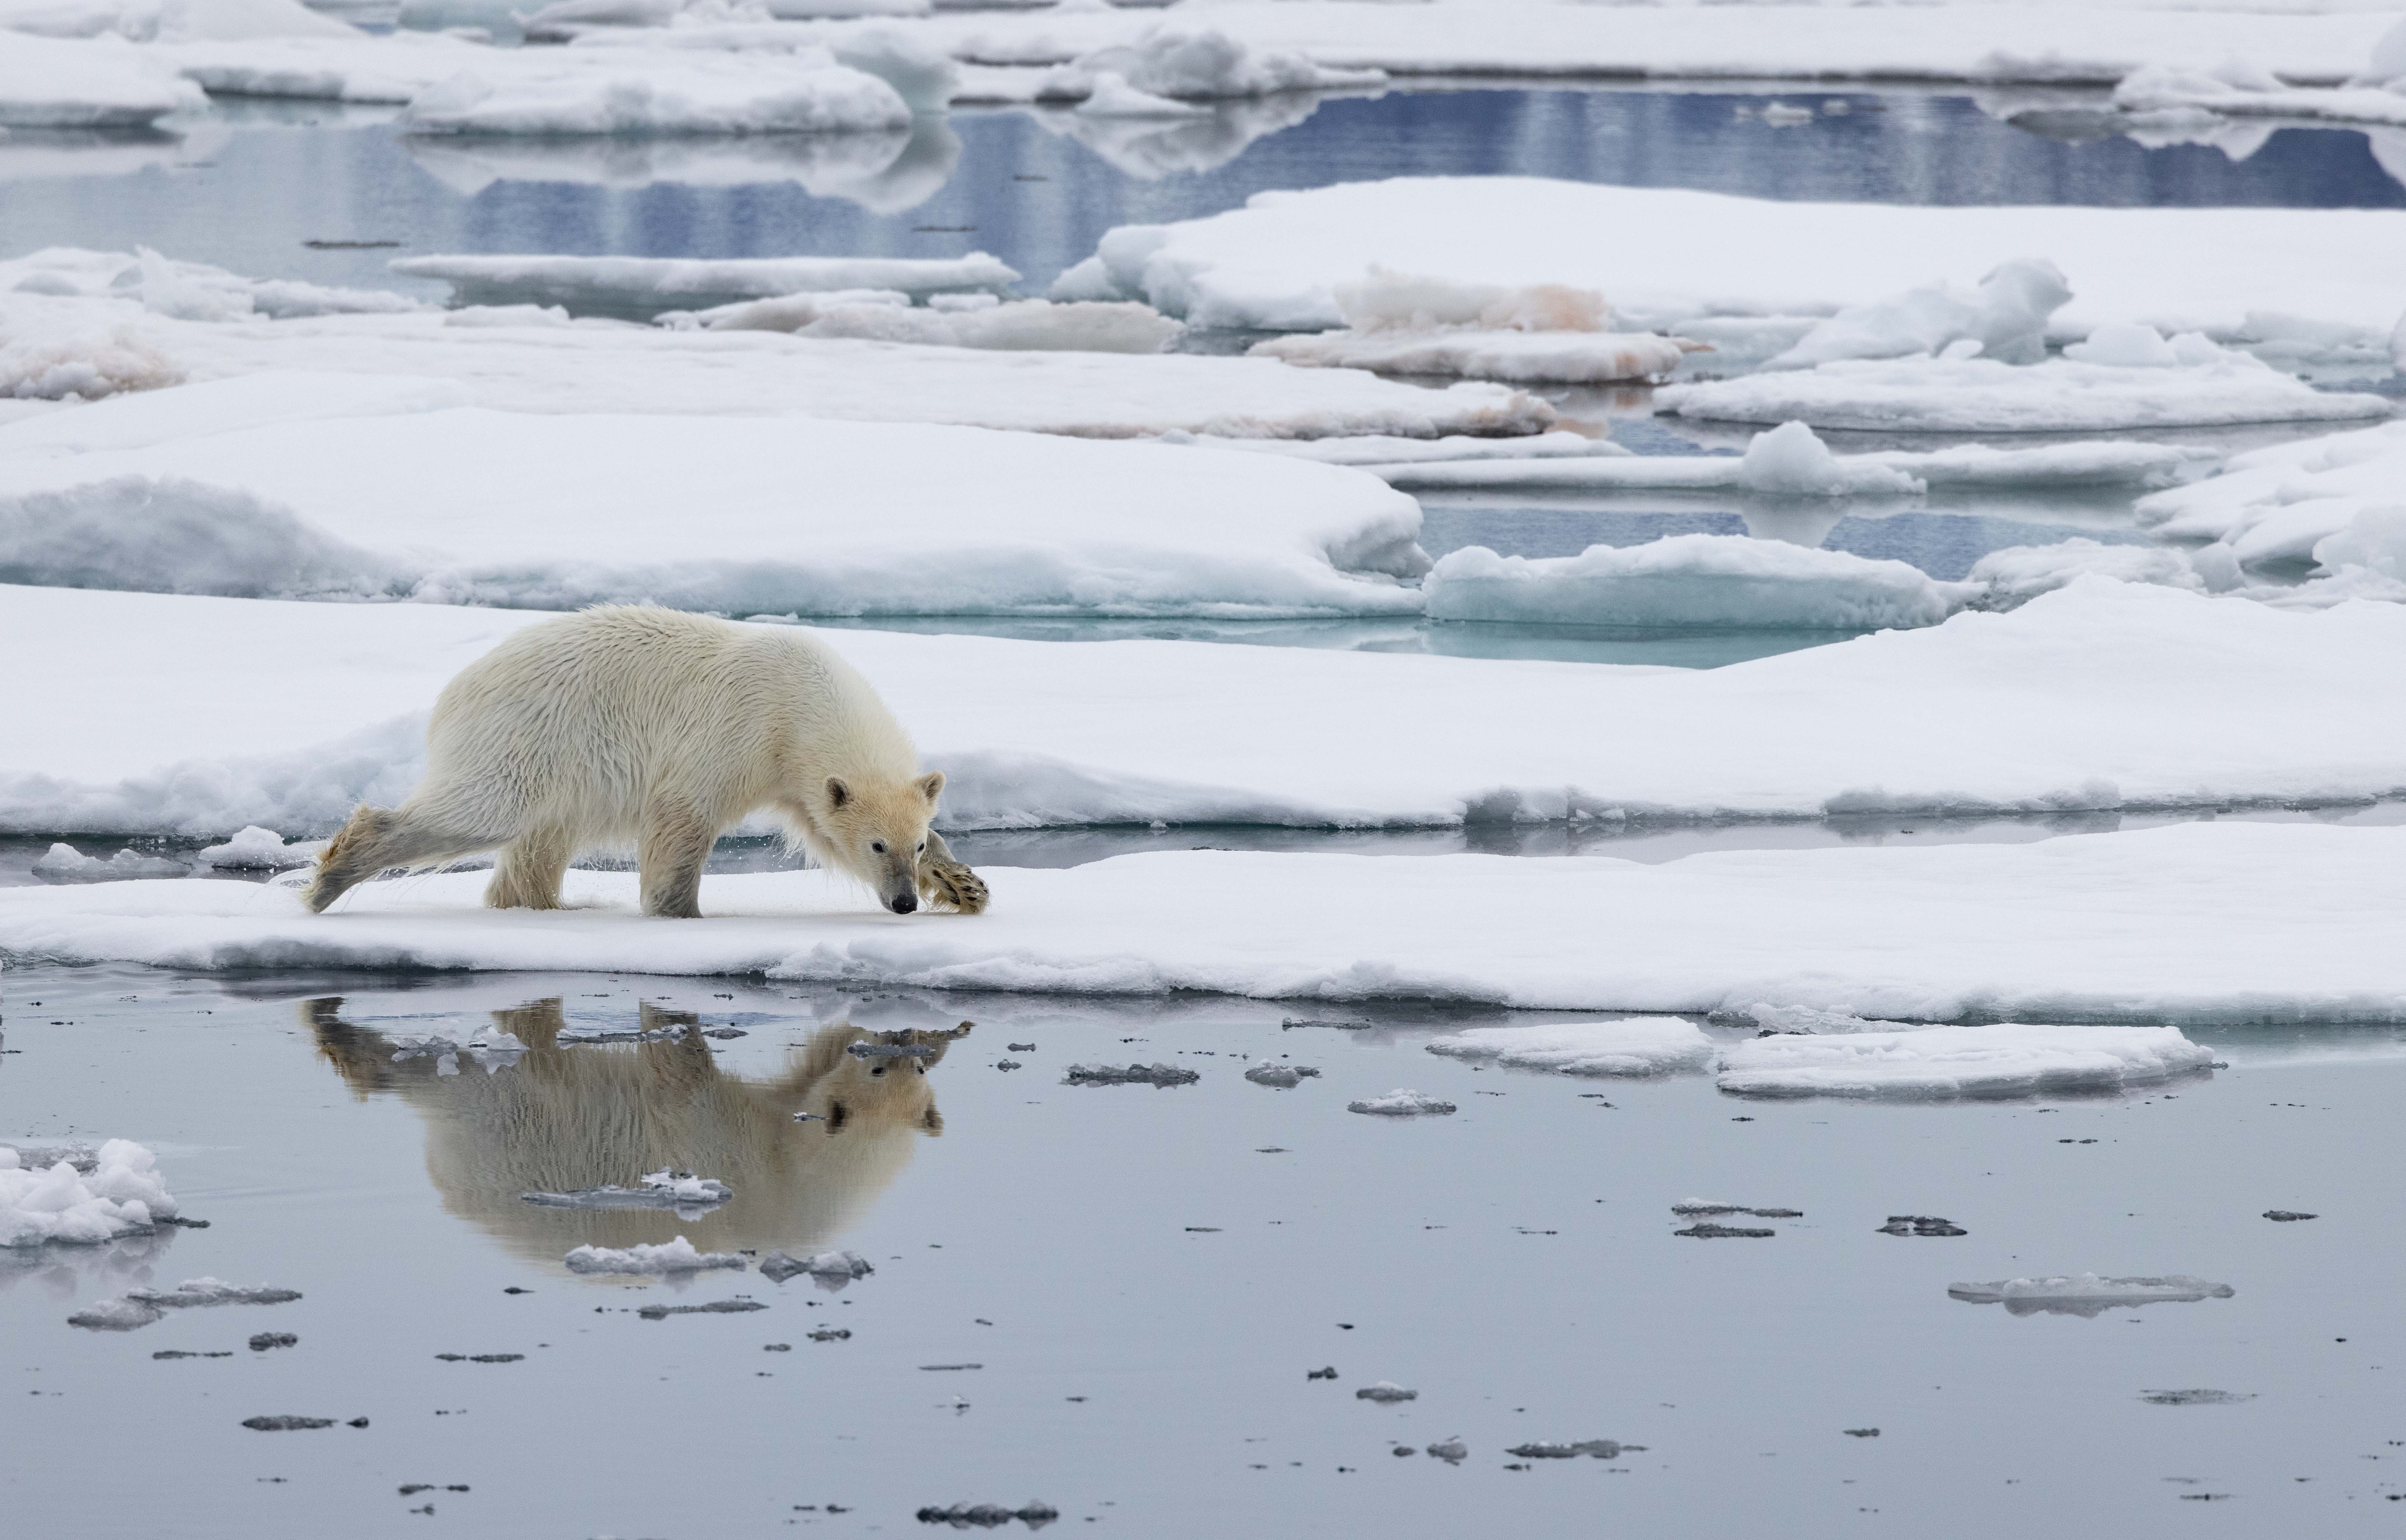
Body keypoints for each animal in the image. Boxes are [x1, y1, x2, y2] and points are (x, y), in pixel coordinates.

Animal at [303, 605, 986, 919]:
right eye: (878, 845)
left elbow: (820, 830)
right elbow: (682, 820)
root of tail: (457, 689)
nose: (902, 902)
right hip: (530, 736)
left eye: (913, 845)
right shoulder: (737, 733)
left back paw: (542, 905)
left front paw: (964, 884)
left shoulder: (794, 773)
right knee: (482, 811)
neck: (800, 697)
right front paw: (680, 912)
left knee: (540, 839)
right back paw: (333, 876)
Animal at [304, 996, 960, 1261]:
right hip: (513, 1119)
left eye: (917, 1068)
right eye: (877, 1067)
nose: (905, 1037)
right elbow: (686, 1085)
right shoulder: (733, 1142)